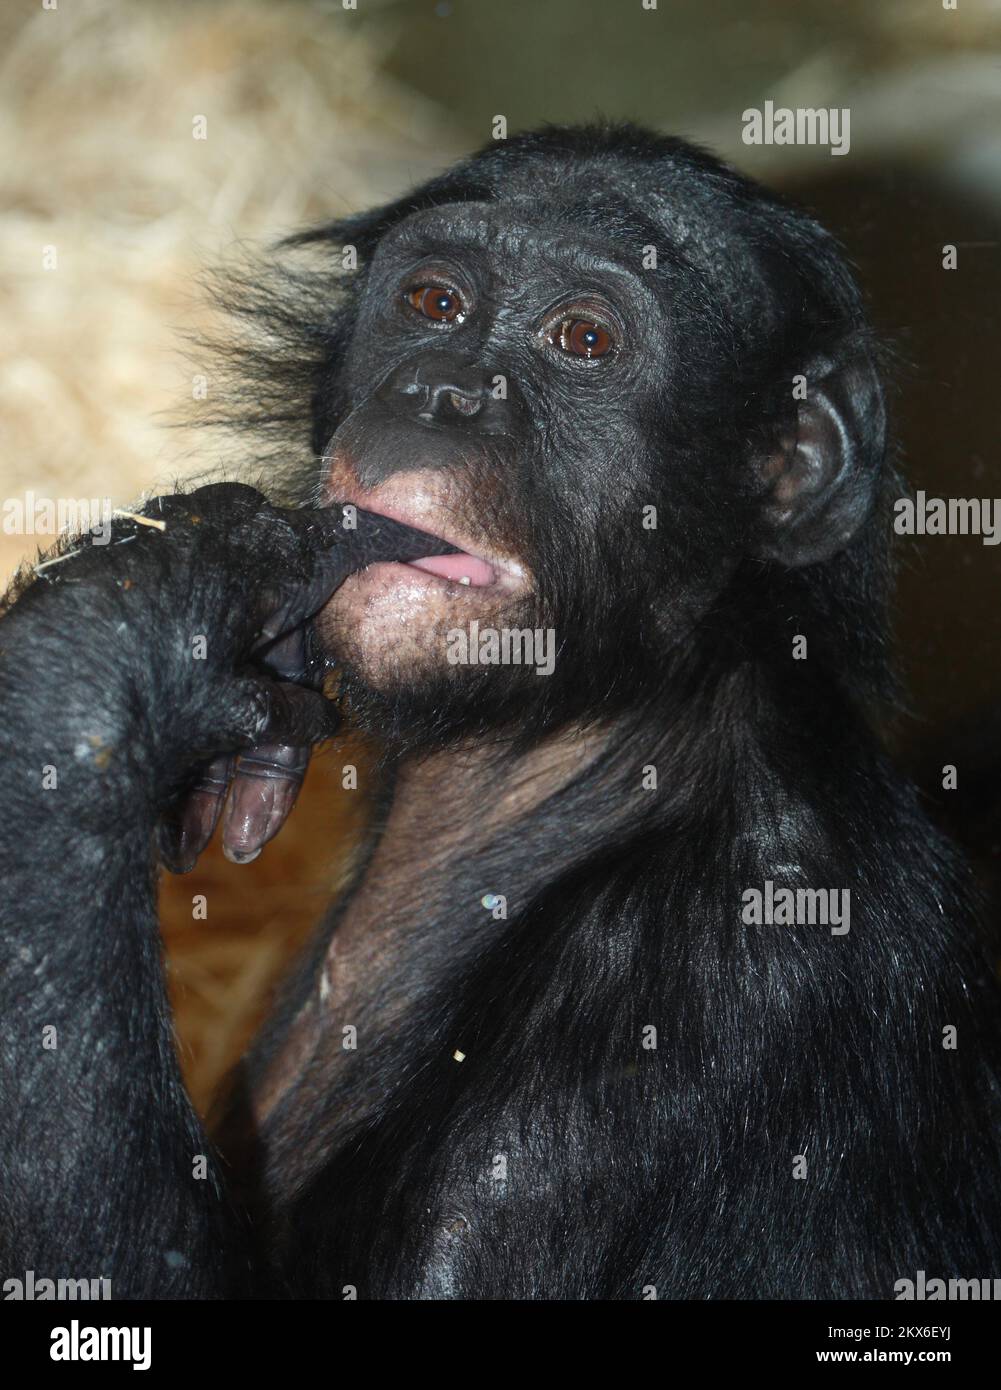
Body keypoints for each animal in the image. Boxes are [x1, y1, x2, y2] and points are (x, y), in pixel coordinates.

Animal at [2, 122, 1000, 1299]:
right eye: (432, 302)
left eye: (583, 338)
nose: (438, 390)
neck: (598, 731)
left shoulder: (723, 992)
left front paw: (125, 625)